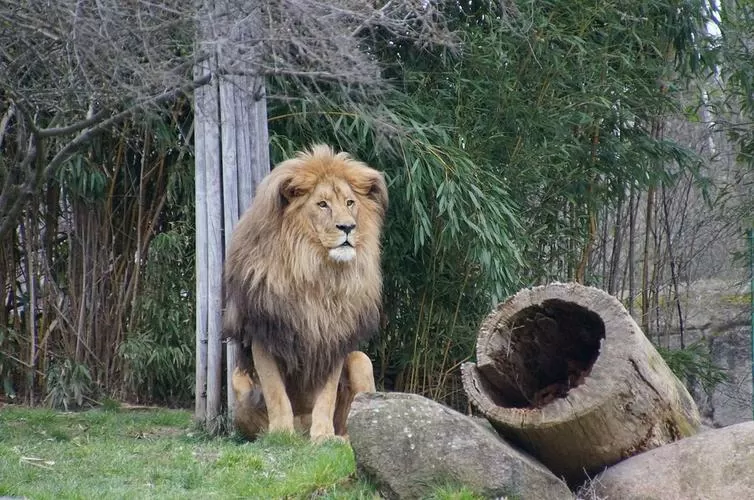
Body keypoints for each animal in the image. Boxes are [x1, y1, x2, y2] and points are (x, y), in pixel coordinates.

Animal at [222, 145, 388, 442]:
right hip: (239, 380)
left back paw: (342, 438)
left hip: (361, 360)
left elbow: (327, 395)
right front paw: (281, 435)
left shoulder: (333, 337)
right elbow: (276, 391)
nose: (348, 227)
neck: (314, 269)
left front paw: (322, 436)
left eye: (349, 203)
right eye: (322, 204)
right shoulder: (264, 333)